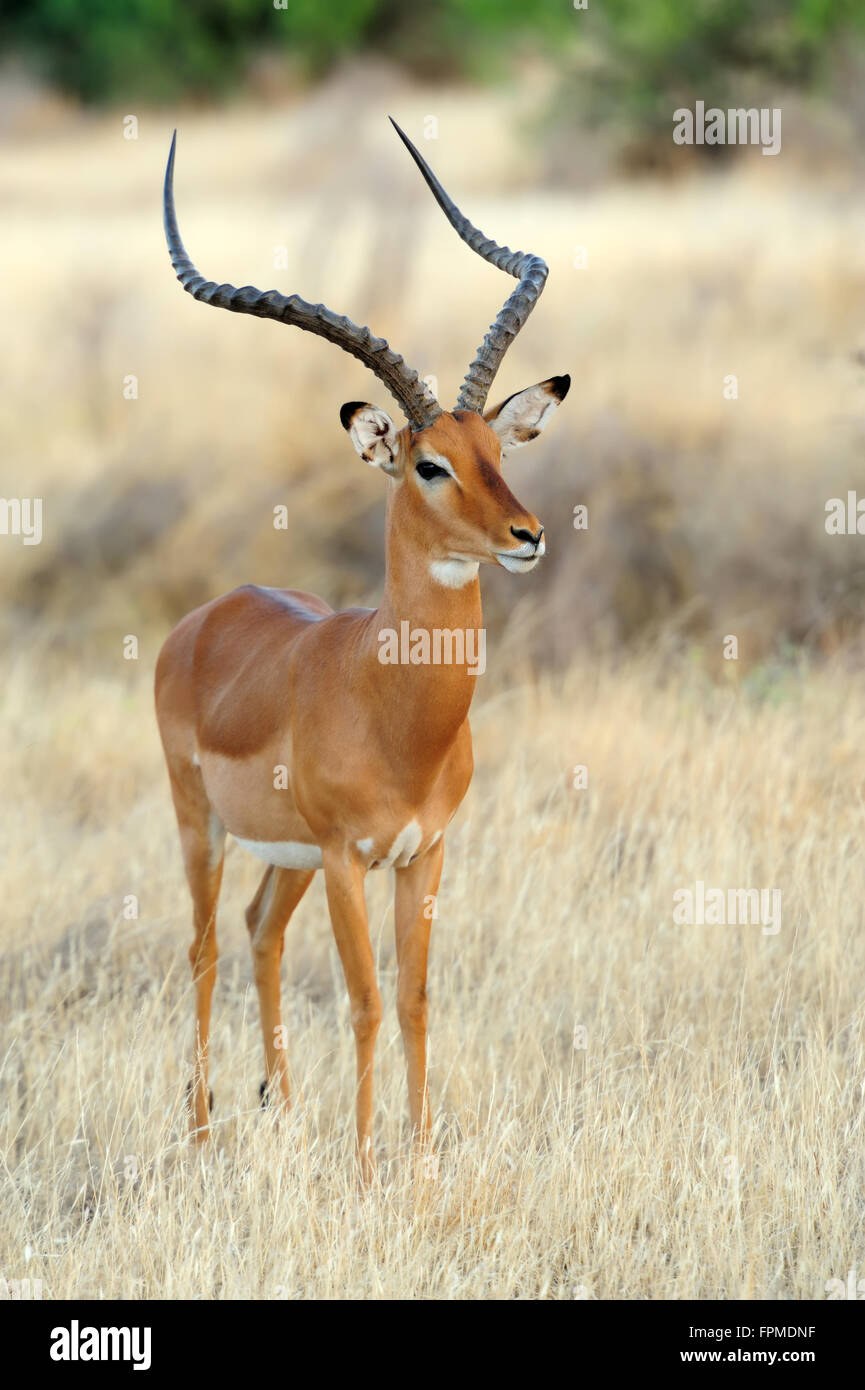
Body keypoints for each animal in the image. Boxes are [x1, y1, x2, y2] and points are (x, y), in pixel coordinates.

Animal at [156, 120, 569, 1180]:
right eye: (428, 464)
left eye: (496, 455)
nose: (527, 536)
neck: (396, 709)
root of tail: (204, 617)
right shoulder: (351, 858)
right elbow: (366, 1000)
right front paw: (368, 1164)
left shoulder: (425, 854)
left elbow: (417, 999)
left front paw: (416, 1160)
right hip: (203, 825)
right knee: (204, 948)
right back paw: (203, 1131)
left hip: (288, 856)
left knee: (258, 933)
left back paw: (280, 1108)